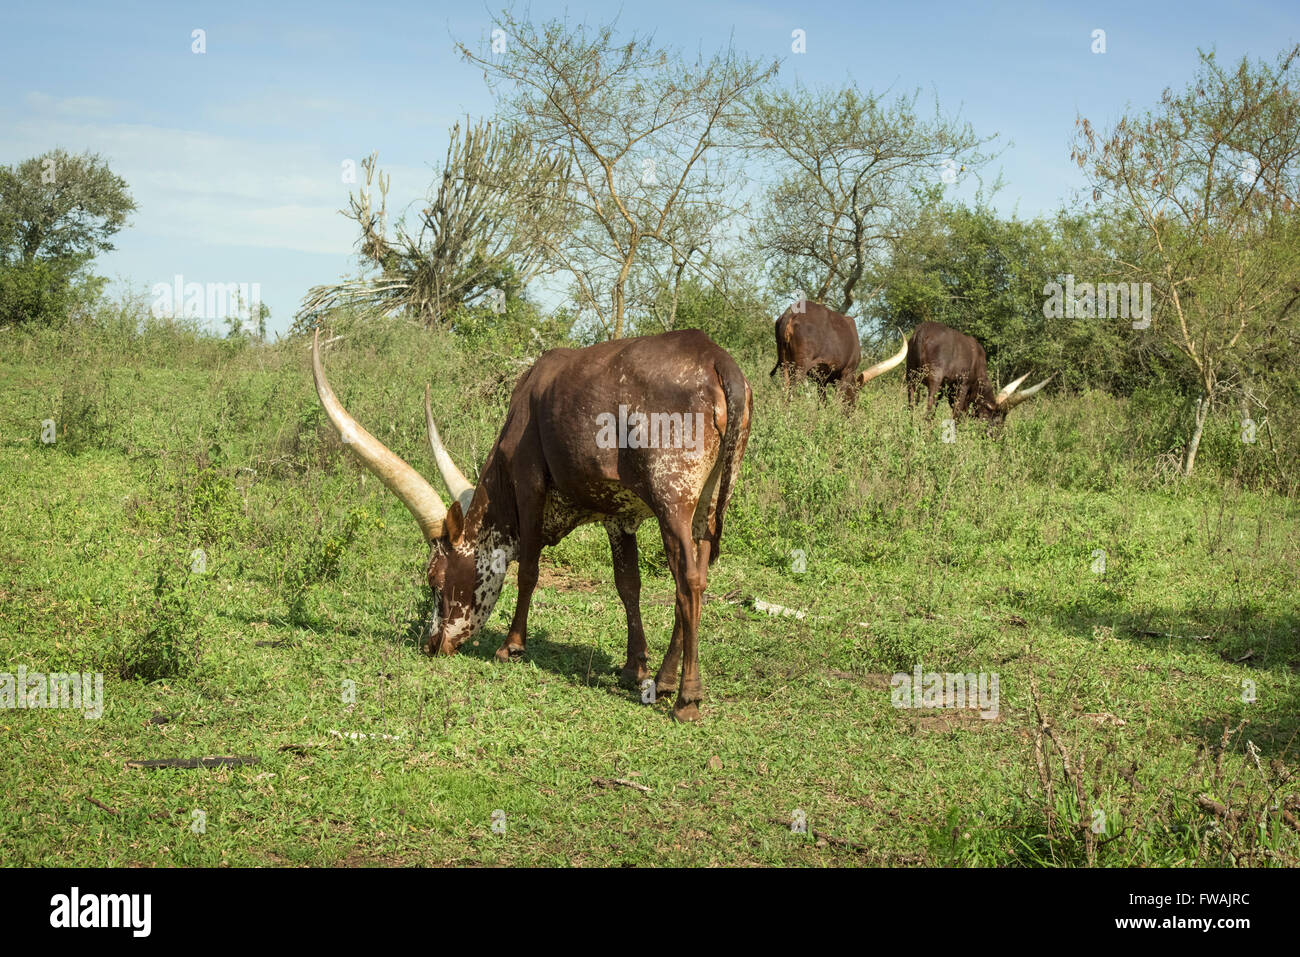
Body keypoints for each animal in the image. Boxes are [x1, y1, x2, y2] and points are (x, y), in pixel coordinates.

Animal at [310, 328, 752, 721]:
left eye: (434, 580)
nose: (432, 644)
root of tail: (717, 359)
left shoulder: (529, 483)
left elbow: (528, 571)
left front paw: (511, 645)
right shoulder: (617, 514)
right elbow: (628, 584)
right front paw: (634, 666)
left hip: (672, 496)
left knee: (688, 581)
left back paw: (686, 698)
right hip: (709, 502)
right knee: (695, 576)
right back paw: (662, 681)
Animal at [770, 301, 907, 403]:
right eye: (855, 395)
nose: (850, 415)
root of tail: (791, 315)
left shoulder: (822, 380)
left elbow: (822, 401)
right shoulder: (846, 373)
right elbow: (837, 401)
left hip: (784, 366)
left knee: (785, 391)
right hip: (800, 368)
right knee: (791, 394)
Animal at [905, 320, 1051, 423]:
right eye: (998, 421)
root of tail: (922, 332)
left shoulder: (947, 388)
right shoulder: (962, 385)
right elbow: (957, 413)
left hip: (911, 376)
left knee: (911, 405)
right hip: (934, 379)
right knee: (928, 408)